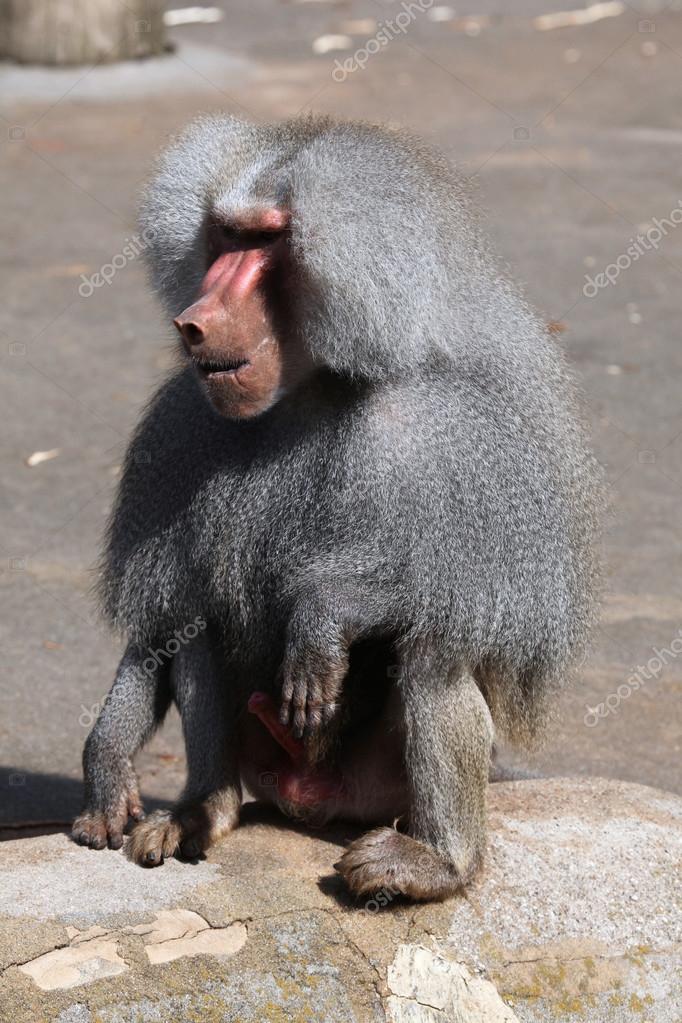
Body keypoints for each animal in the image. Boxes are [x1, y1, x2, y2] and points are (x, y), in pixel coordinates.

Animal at [72, 114, 602, 902]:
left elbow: (489, 593)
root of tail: (313, 800)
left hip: (380, 791)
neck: (315, 385)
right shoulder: (179, 429)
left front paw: (321, 621)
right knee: (201, 627)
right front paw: (106, 767)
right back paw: (203, 811)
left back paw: (436, 862)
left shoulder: (466, 436)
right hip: (264, 757)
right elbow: (163, 623)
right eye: (224, 236)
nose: (193, 322)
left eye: (267, 241)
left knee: (434, 646)